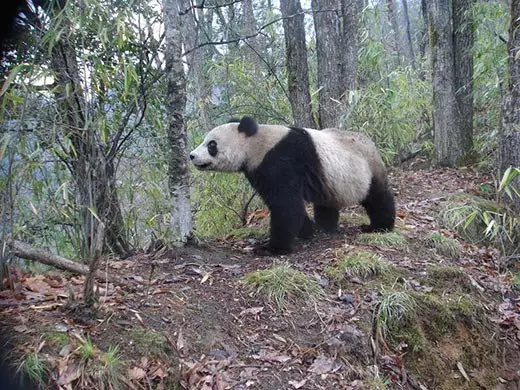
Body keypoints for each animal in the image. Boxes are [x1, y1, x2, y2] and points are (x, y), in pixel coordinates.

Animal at [189, 117, 396, 254]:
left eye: (211, 145)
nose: (191, 155)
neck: (256, 143)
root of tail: (371, 143)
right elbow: (287, 204)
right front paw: (306, 231)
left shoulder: (280, 159)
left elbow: (286, 205)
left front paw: (272, 248)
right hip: (332, 180)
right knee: (326, 203)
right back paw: (325, 226)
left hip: (365, 169)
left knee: (378, 197)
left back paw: (380, 226)